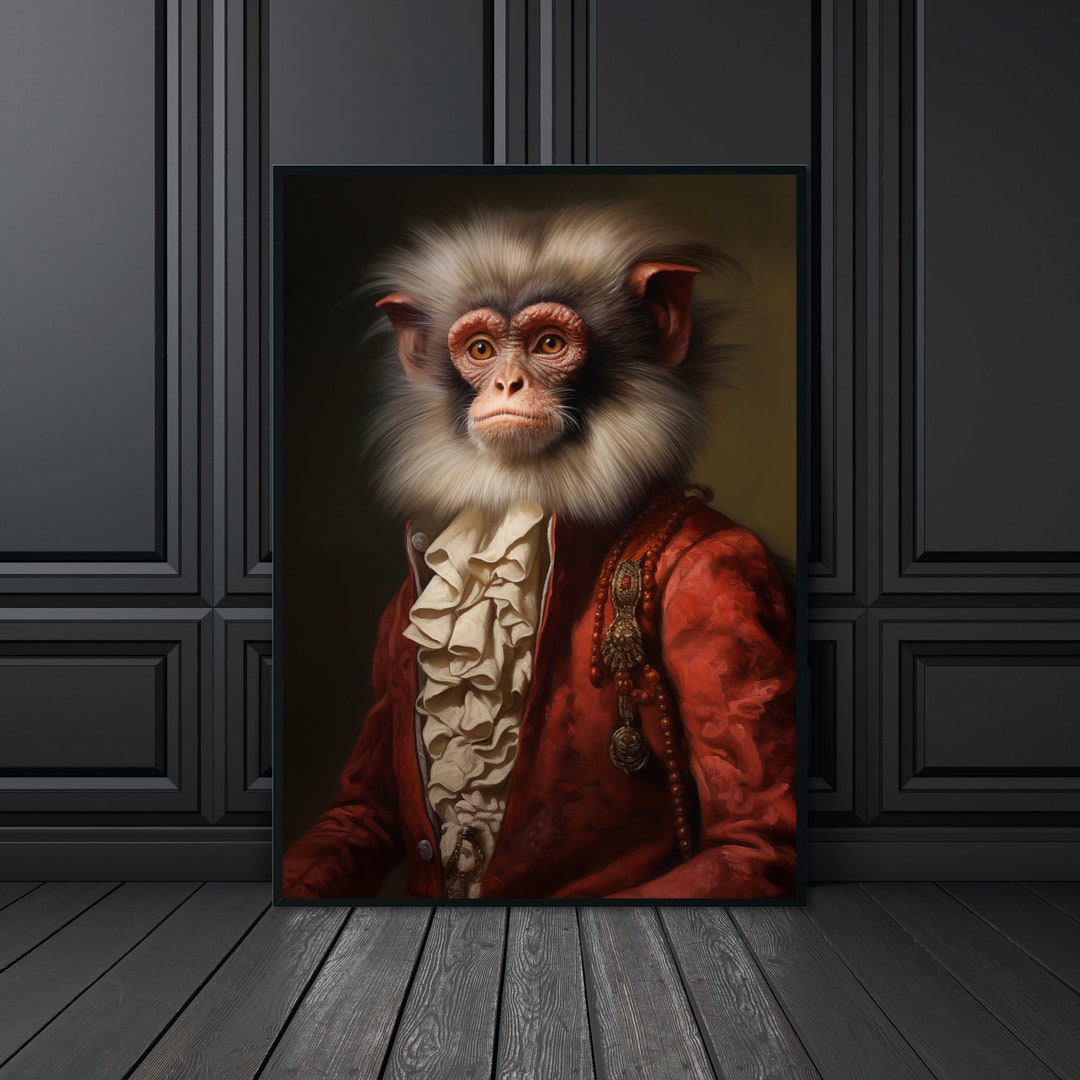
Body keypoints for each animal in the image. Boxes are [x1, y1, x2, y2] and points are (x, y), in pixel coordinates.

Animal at [282, 200, 797, 901]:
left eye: (549, 344)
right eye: (479, 349)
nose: (506, 382)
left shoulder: (723, 581)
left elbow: (752, 840)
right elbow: (362, 808)